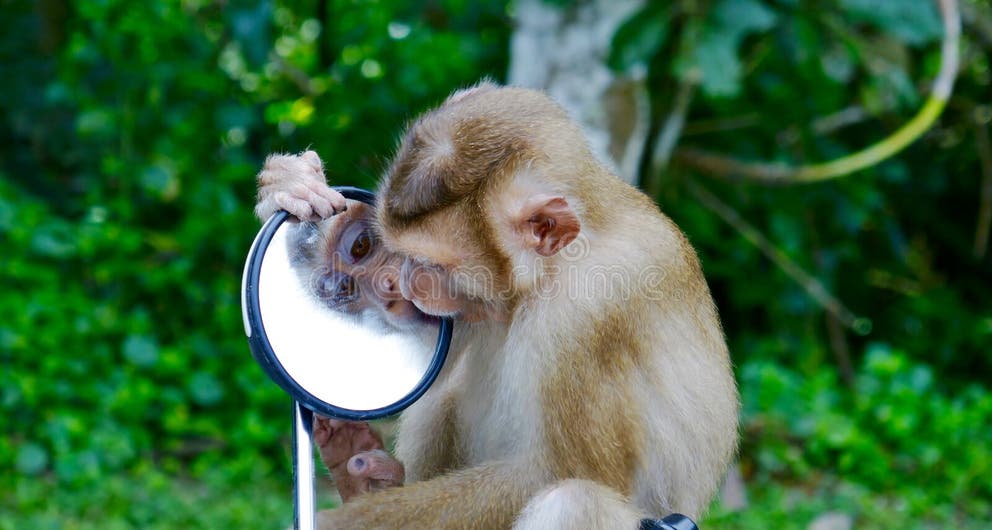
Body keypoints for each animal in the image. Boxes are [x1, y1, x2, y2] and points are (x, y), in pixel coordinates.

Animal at [303, 82, 740, 529]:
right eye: (386, 247)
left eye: (432, 266)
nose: (403, 285)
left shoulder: (585, 312)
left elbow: (558, 471)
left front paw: (344, 519)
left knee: (574, 500)